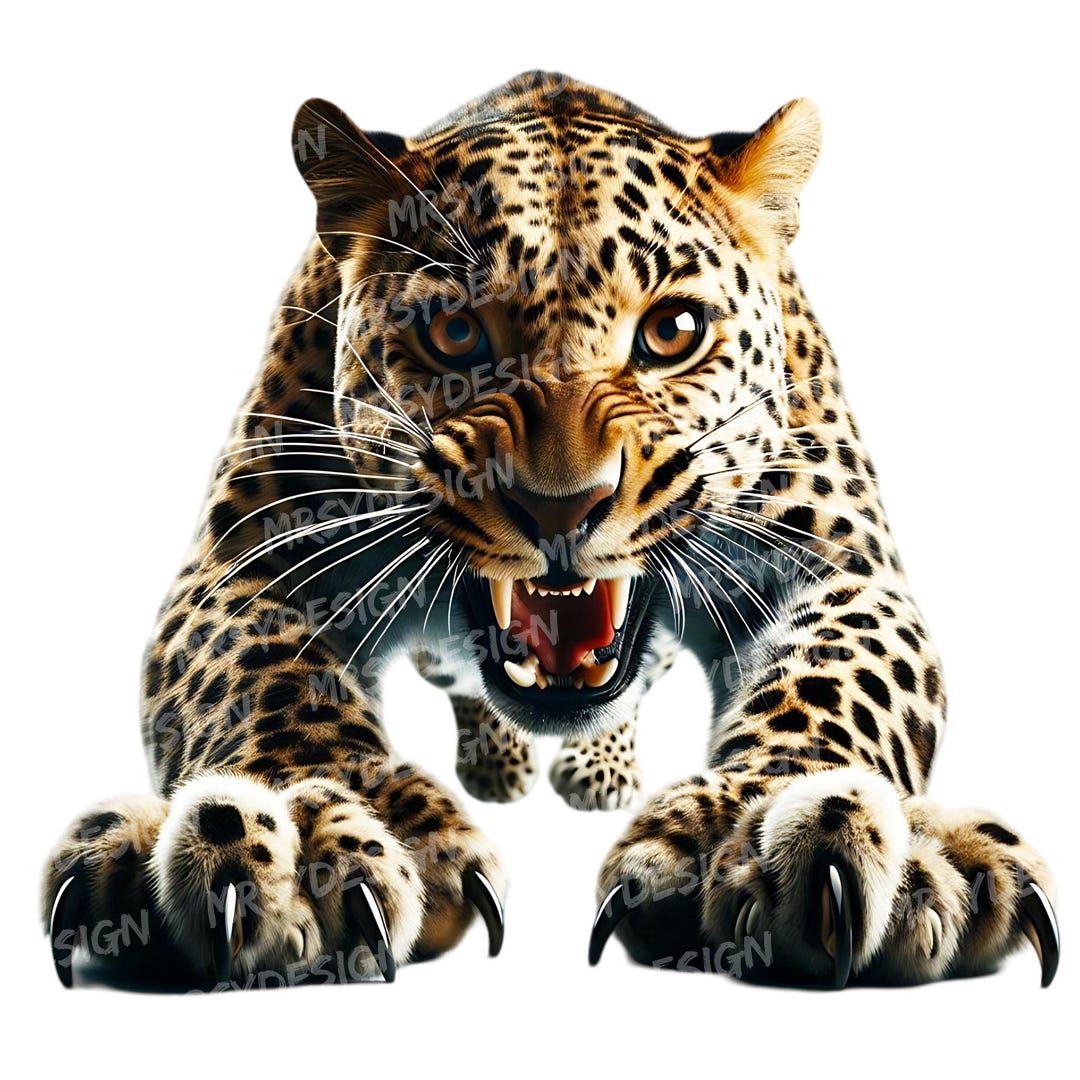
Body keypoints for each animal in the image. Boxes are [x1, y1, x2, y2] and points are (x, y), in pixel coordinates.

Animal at [43, 71, 1059, 990]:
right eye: (454, 334)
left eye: (674, 329)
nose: (562, 506)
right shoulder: (247, 559)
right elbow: (263, 681)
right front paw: (295, 847)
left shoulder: (837, 561)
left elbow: (841, 679)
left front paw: (795, 833)